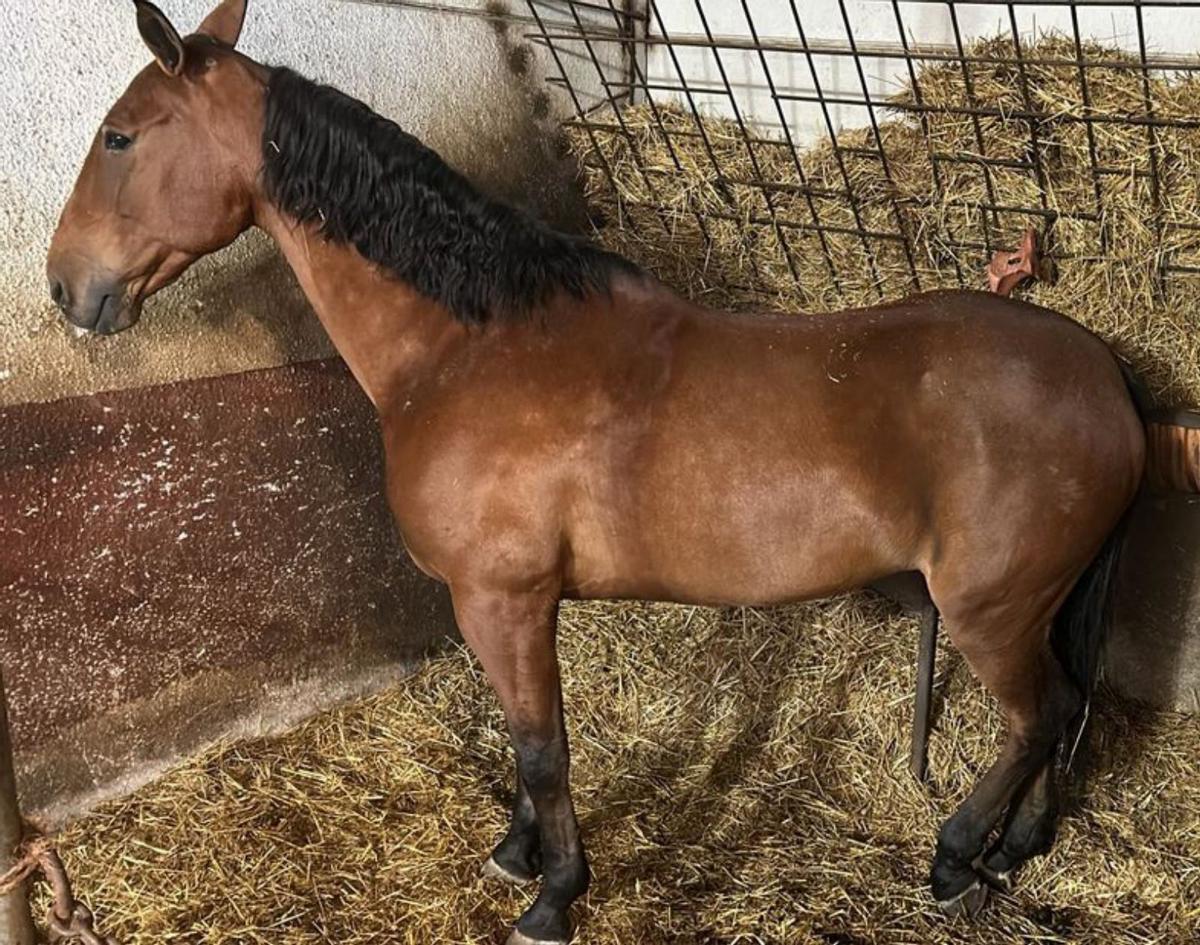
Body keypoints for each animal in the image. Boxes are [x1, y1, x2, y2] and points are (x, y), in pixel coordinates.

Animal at [46, 3, 1146, 943]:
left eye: (120, 137)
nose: (66, 287)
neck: (471, 347)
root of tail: (1106, 382)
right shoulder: (498, 605)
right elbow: (521, 739)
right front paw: (516, 852)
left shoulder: (505, 598)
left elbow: (541, 746)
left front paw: (553, 896)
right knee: (1062, 715)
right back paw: (1015, 846)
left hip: (991, 612)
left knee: (1033, 719)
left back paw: (957, 857)